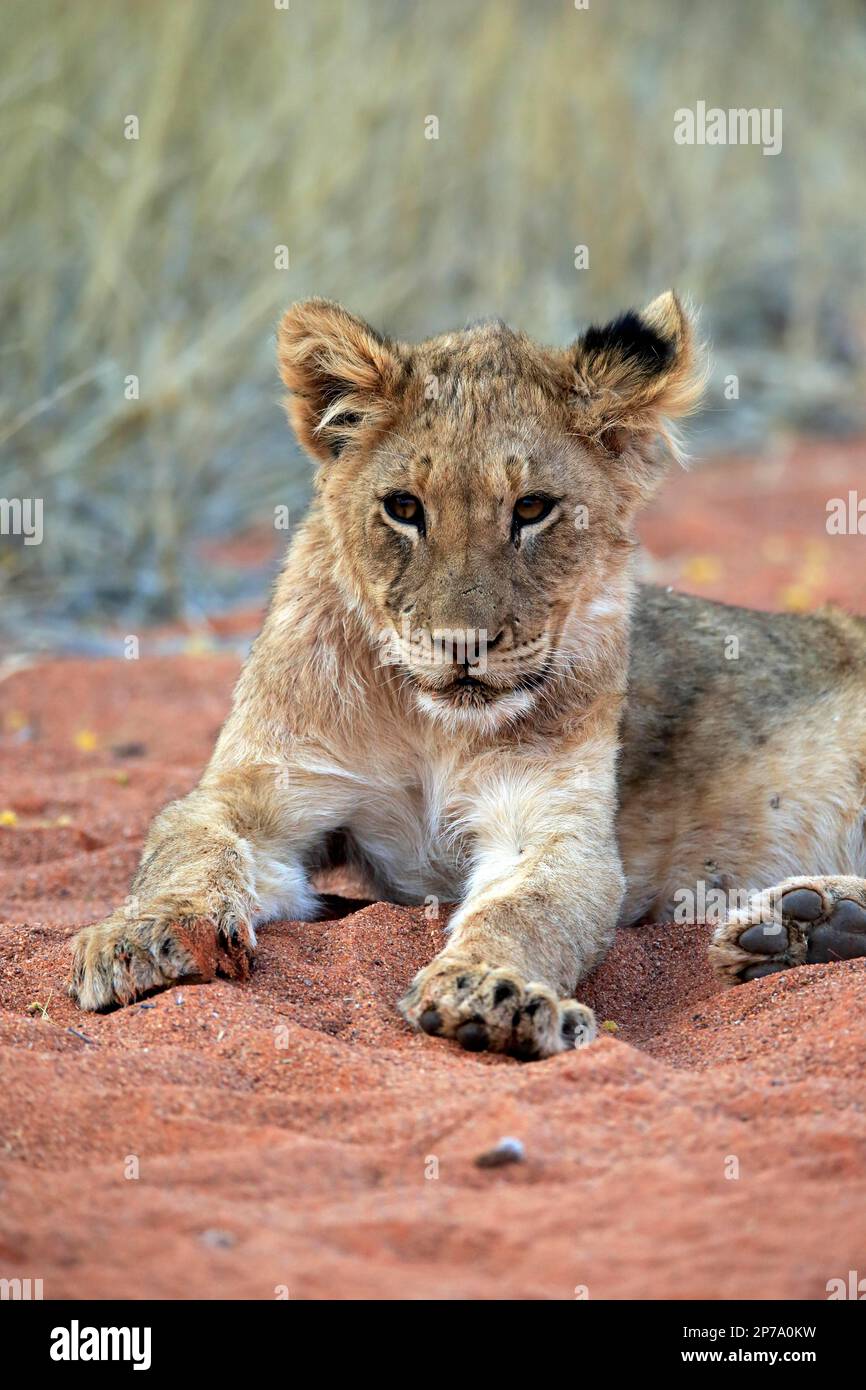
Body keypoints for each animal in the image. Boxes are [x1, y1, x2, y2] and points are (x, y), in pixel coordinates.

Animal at [69, 293, 866, 1059]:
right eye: (403, 508)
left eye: (533, 508)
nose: (461, 644)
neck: (432, 726)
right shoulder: (259, 794)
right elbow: (191, 853)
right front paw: (142, 939)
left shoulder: (550, 829)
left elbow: (526, 911)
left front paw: (493, 992)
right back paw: (811, 926)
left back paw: (808, 923)